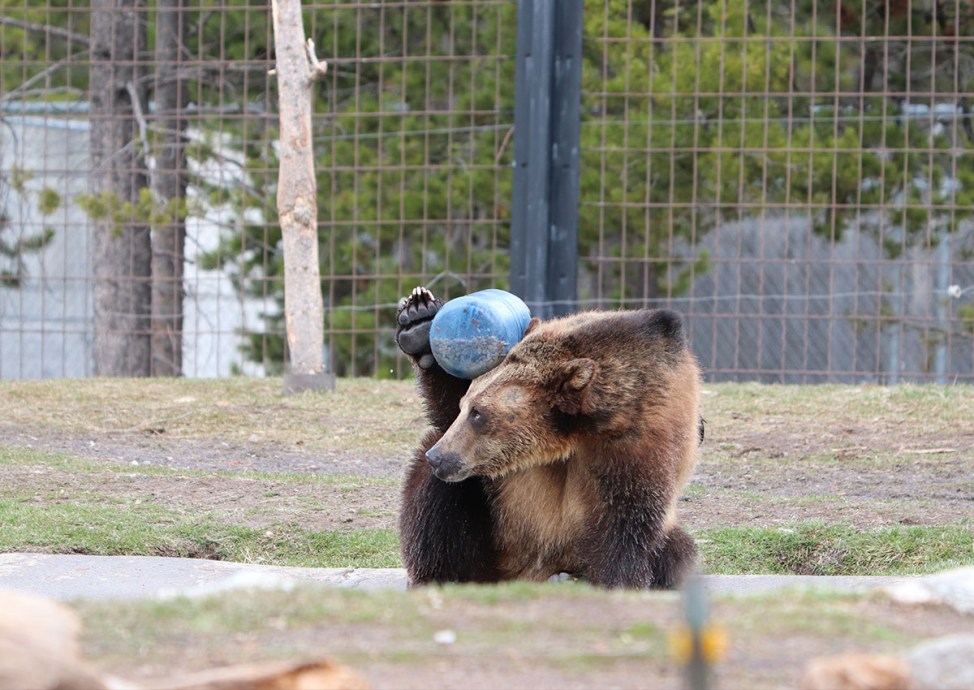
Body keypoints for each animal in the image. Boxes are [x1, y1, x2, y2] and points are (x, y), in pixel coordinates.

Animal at [396, 286, 701, 589]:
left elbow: (624, 524)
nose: (438, 457)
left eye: (478, 413)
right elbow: (445, 409)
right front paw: (419, 320)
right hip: (495, 543)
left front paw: (615, 581)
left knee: (676, 552)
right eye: (467, 406)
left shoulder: (638, 443)